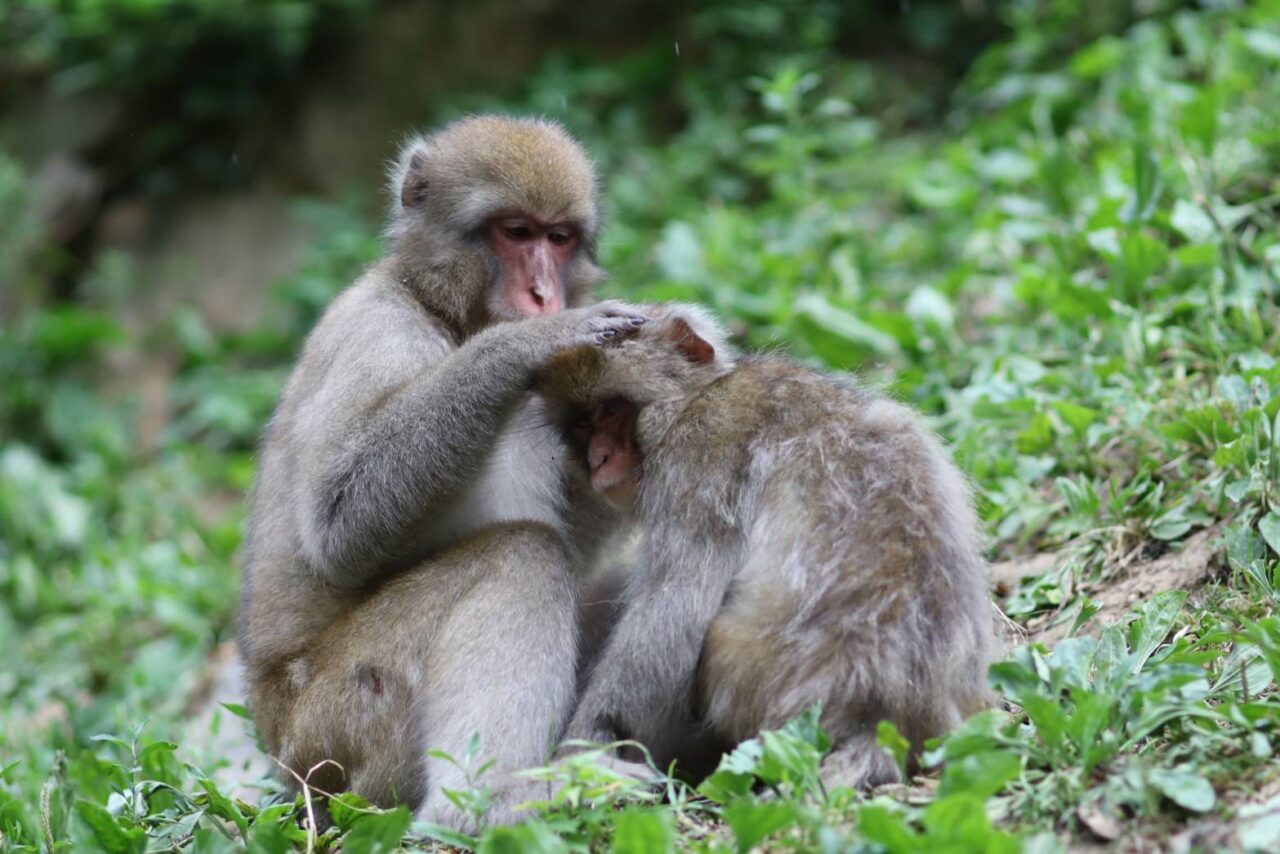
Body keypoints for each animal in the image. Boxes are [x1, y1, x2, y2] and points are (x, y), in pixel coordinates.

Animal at [237, 115, 646, 831]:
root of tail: (279, 751)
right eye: (516, 232)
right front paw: (520, 347)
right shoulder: (376, 336)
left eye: (559, 238)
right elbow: (338, 527)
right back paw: (485, 808)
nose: (544, 295)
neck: (443, 314)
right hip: (342, 725)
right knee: (522, 556)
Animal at [537, 303, 999, 786]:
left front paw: (586, 747)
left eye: (610, 410)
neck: (693, 399)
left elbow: (674, 607)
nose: (598, 460)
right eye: (583, 423)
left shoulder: (698, 462)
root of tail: (874, 720)